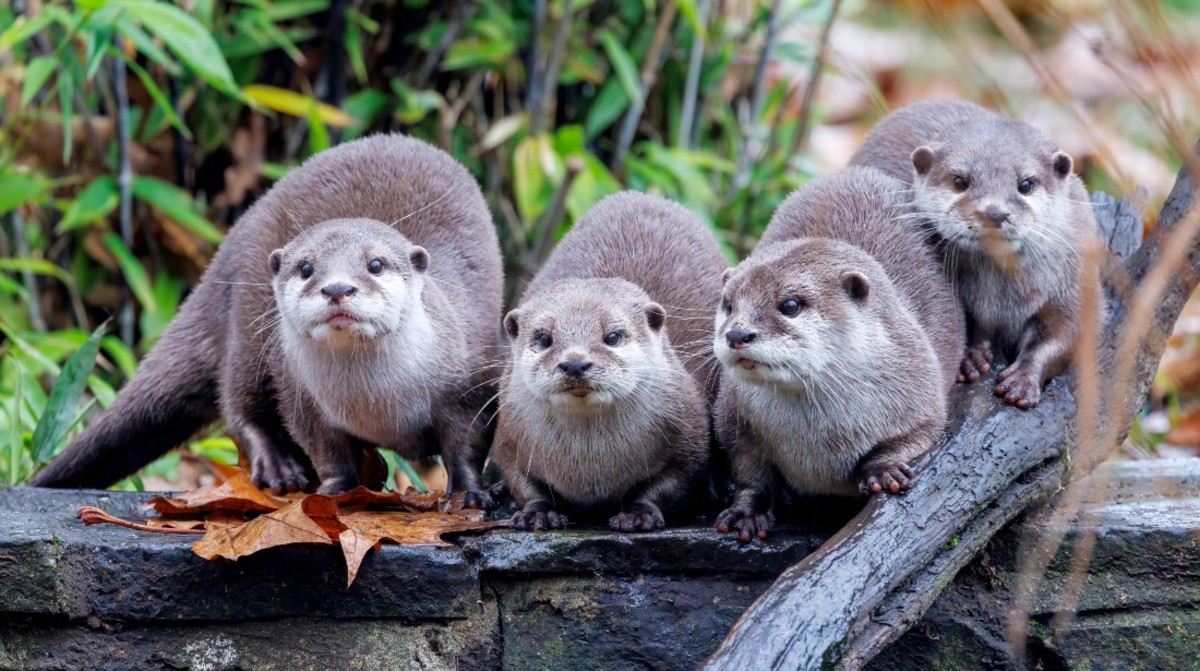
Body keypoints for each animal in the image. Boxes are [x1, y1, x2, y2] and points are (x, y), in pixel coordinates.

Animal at [31, 134, 503, 506]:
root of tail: (230, 246)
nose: (337, 288)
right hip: (248, 328)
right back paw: (279, 468)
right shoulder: (303, 397)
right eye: (307, 267)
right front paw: (334, 491)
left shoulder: (468, 377)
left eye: (375, 264)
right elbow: (327, 449)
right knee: (238, 402)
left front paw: (468, 494)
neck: (376, 404)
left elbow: (465, 444)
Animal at [493, 191, 726, 532]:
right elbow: (521, 481)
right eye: (544, 338)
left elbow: (671, 482)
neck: (592, 474)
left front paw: (638, 513)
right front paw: (538, 512)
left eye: (613, 336)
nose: (575, 363)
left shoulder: (688, 437)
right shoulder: (510, 436)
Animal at [713, 168, 965, 542]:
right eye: (728, 304)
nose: (737, 334)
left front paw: (884, 469)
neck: (820, 444)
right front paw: (747, 510)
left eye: (790, 305)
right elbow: (750, 472)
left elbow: (922, 432)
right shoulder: (733, 418)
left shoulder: (922, 390)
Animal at [849, 98, 1103, 408]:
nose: (993, 212)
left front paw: (1022, 380)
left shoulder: (1075, 280)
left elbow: (1068, 332)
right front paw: (971, 357)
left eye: (1026, 184)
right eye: (960, 181)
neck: (1003, 298)